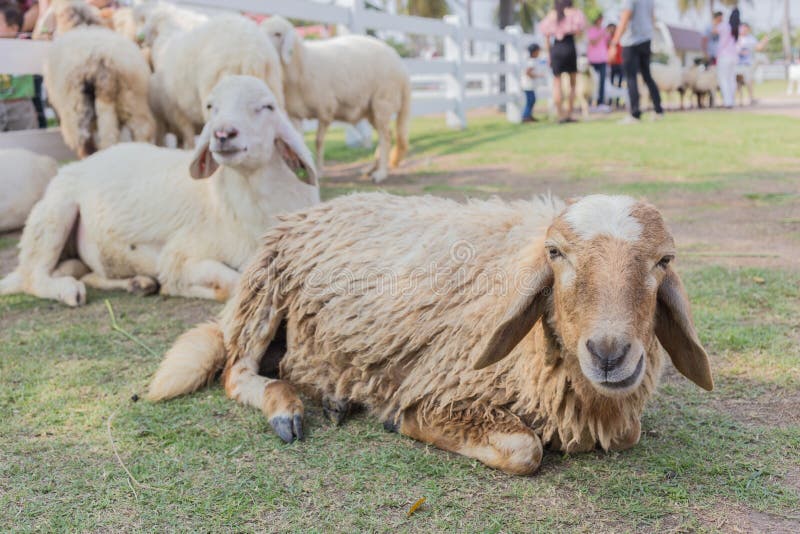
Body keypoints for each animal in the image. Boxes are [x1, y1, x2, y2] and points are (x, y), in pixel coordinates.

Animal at [0, 76, 319, 307]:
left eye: (267, 107)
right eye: (211, 107)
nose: (222, 134)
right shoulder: (182, 255)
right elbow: (231, 282)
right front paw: (179, 287)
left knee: (89, 272)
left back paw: (138, 283)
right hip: (54, 215)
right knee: (33, 277)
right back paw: (68, 290)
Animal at [143, 12, 283, 149]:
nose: (141, 39)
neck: (165, 44)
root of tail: (253, 54)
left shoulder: (176, 109)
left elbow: (187, 135)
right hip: (272, 88)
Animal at [148, 193, 714, 475]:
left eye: (664, 261)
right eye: (556, 254)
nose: (610, 354)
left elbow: (628, 433)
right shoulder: (439, 384)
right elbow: (524, 451)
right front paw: (401, 422)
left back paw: (335, 398)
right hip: (264, 290)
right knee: (236, 371)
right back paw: (286, 408)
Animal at [261, 16, 411, 182]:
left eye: (278, 34)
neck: (301, 64)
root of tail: (402, 68)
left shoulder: (325, 110)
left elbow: (318, 142)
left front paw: (319, 171)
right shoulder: (295, 115)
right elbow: (299, 142)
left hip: (383, 100)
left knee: (385, 137)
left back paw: (381, 173)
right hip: (373, 109)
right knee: (386, 133)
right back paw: (371, 169)